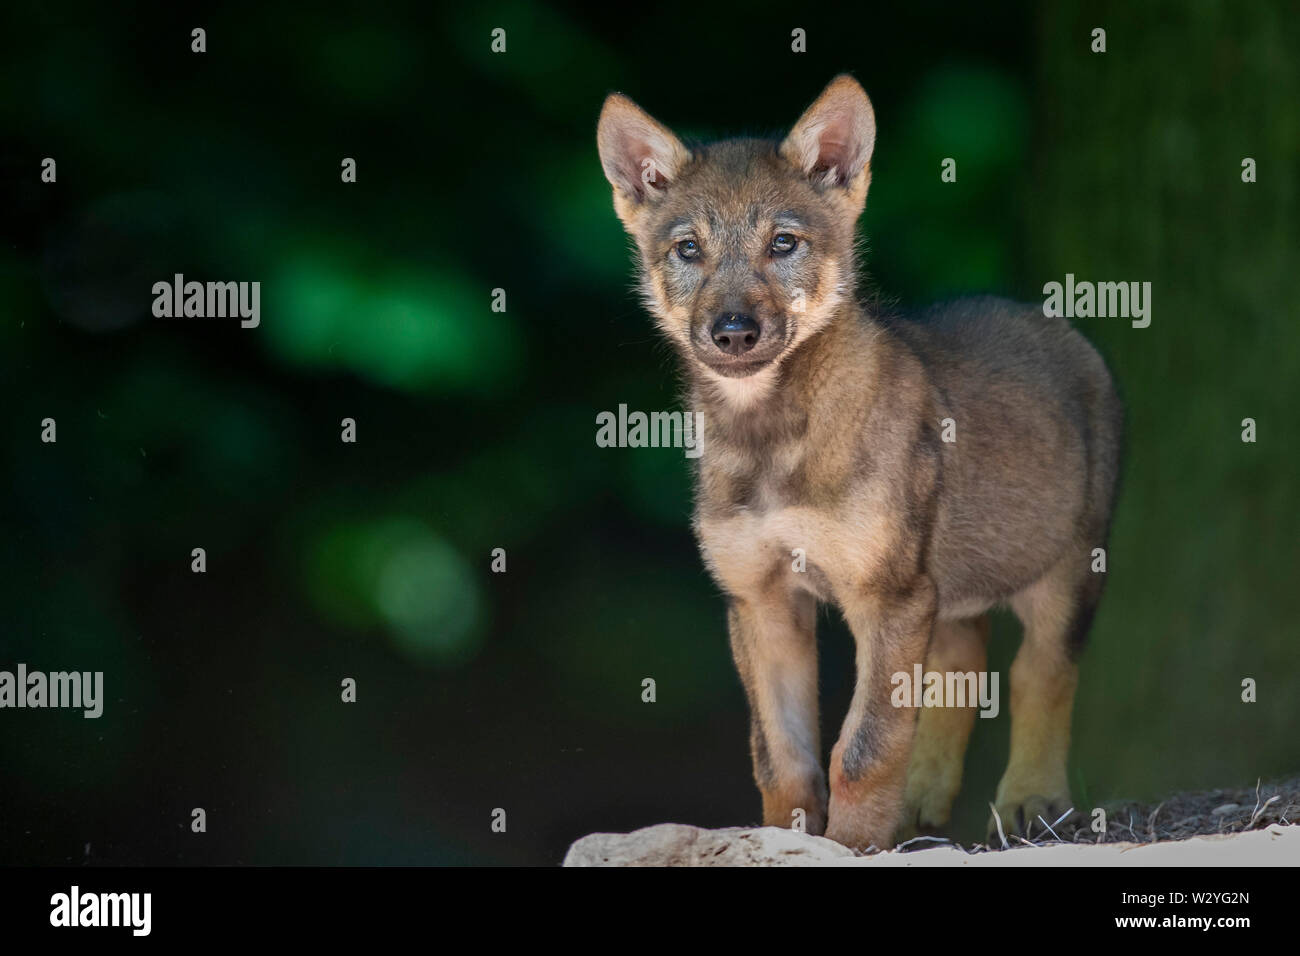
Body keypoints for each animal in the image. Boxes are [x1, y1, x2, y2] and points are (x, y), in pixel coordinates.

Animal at [596, 75, 1123, 850]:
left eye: (784, 243)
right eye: (688, 249)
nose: (732, 332)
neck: (769, 441)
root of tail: (1049, 318)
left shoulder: (887, 594)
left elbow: (865, 747)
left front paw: (852, 844)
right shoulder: (761, 598)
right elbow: (782, 758)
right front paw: (791, 838)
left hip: (1064, 571)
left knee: (1040, 673)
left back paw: (1032, 801)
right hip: (950, 585)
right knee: (961, 667)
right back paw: (920, 805)